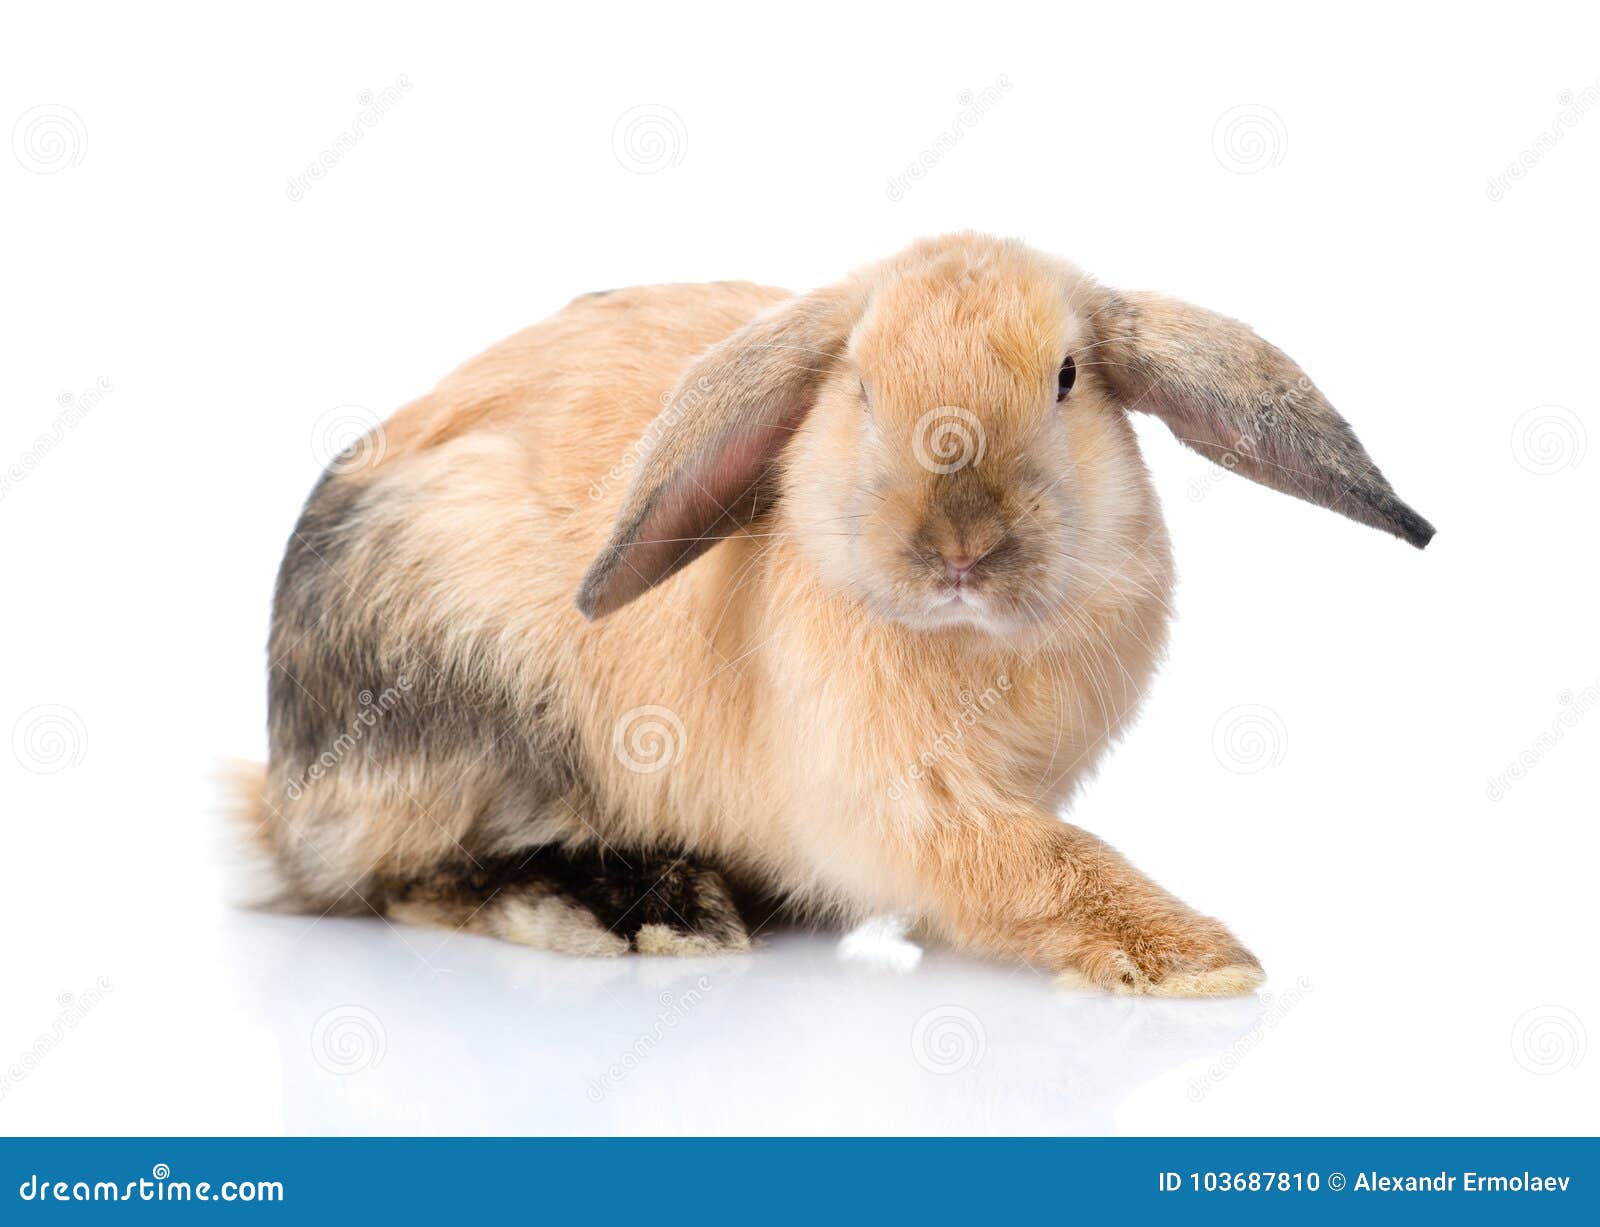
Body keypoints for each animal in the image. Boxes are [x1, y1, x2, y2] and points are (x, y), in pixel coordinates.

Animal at [233, 233, 1432, 995]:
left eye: (1066, 378)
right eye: (857, 385)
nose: (959, 545)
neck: (967, 638)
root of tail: (283, 790)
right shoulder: (908, 804)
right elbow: (1040, 865)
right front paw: (1199, 961)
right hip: (468, 715)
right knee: (400, 881)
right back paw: (644, 910)